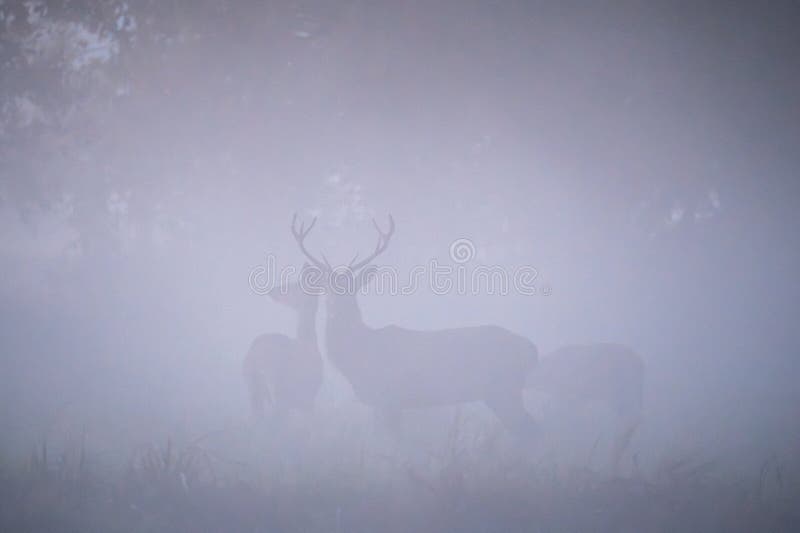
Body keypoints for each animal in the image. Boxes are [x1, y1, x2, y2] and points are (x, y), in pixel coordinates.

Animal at [242, 229, 324, 420]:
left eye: (293, 286)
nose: (272, 291)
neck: (307, 342)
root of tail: (254, 357)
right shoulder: (309, 400)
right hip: (278, 391)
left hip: (254, 390)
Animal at [290, 214, 542, 440]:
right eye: (326, 288)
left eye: (352, 289)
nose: (335, 307)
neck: (361, 357)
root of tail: (530, 348)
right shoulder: (381, 402)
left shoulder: (389, 396)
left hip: (503, 388)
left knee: (530, 429)